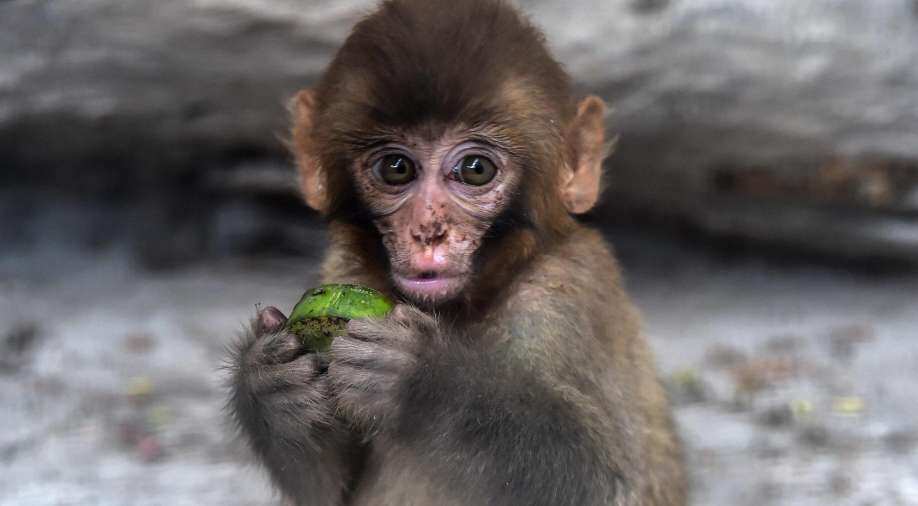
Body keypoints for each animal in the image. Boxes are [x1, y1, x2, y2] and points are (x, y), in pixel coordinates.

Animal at [227, 0, 687, 505]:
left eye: (475, 169)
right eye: (395, 168)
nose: (429, 231)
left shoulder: (570, 290)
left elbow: (612, 483)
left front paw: (431, 383)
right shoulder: (346, 268)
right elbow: (328, 492)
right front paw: (268, 385)